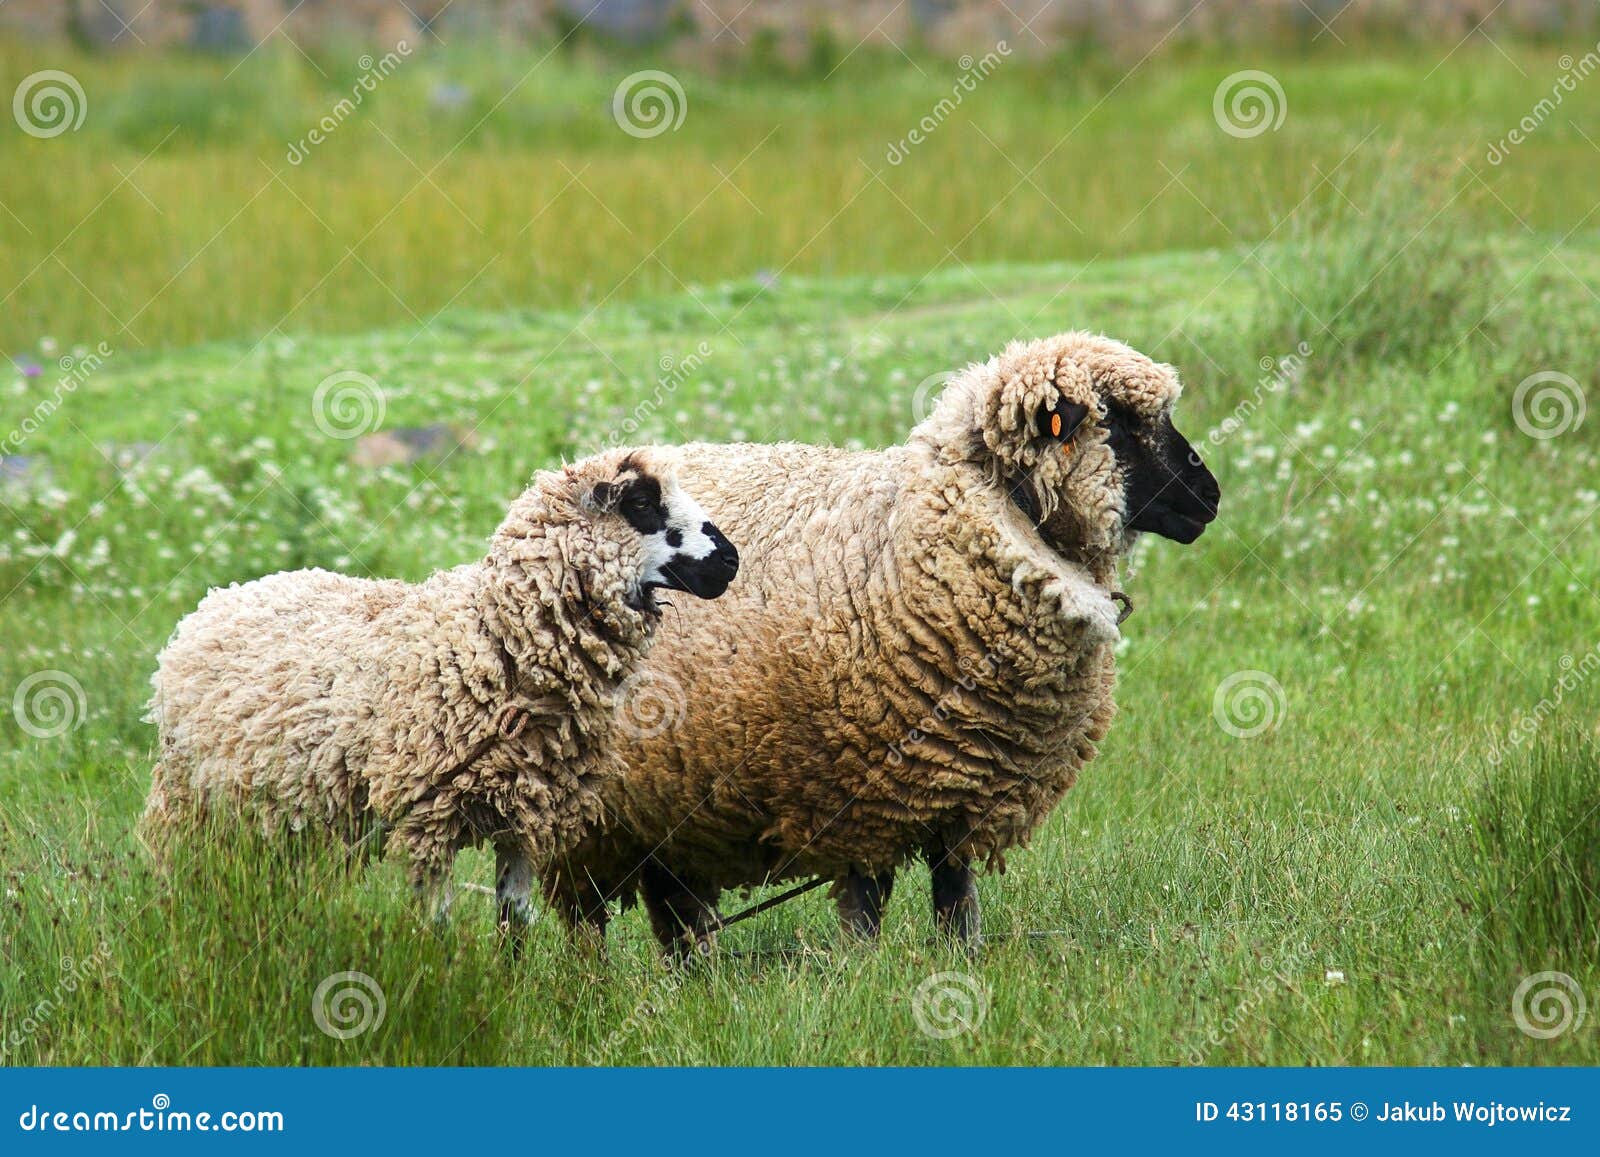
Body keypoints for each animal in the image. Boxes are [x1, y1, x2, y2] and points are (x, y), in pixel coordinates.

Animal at [141, 447, 739, 940]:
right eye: (641, 504)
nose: (730, 561)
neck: (492, 641)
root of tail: (222, 596)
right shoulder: (429, 816)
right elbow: (437, 925)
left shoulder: (525, 812)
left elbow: (513, 921)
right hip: (188, 800)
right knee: (180, 875)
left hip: (290, 809)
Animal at [540, 332, 1220, 955]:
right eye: (1121, 423)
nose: (1209, 497)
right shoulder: (860, 789)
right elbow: (866, 903)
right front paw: (863, 973)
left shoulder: (963, 784)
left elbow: (955, 891)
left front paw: (963, 957)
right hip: (588, 816)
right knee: (590, 918)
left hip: (664, 806)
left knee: (674, 906)